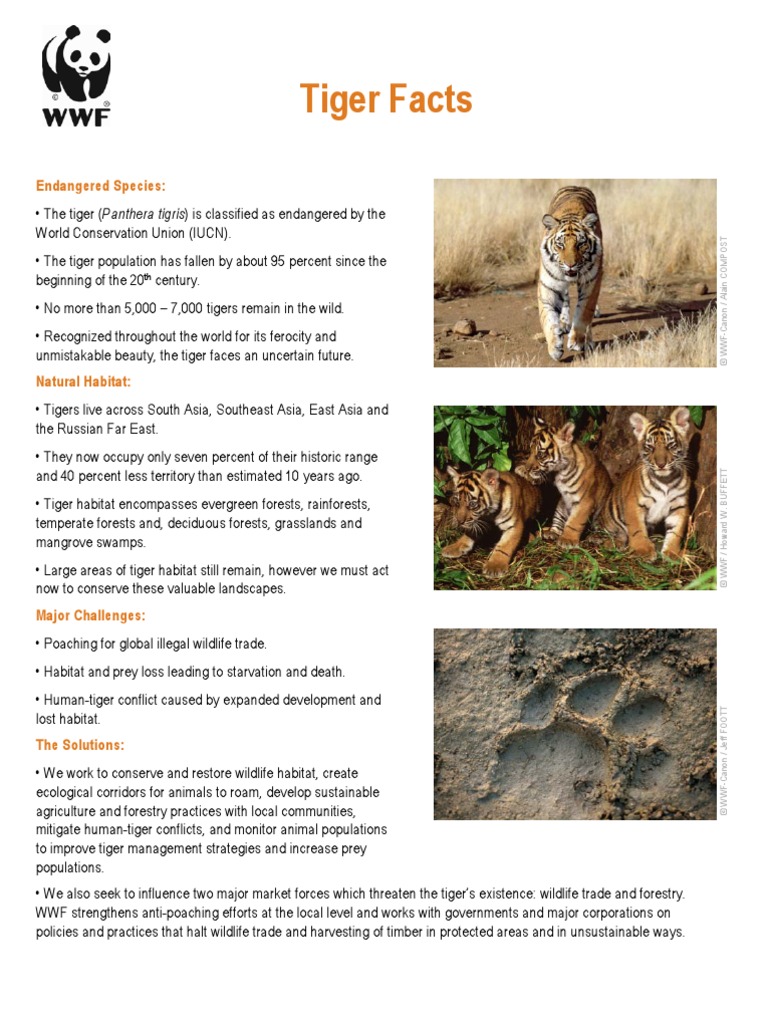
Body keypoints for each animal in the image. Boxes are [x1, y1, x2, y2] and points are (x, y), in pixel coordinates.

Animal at [515, 417, 611, 547]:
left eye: (540, 454)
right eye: (530, 451)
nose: (528, 468)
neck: (560, 472)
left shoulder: (585, 501)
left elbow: (575, 522)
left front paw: (567, 540)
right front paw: (523, 470)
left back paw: (596, 537)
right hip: (561, 506)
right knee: (557, 522)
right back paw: (551, 533)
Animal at [538, 186, 603, 362]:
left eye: (580, 244)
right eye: (560, 244)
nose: (570, 264)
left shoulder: (591, 283)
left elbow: (583, 314)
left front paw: (576, 342)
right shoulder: (548, 286)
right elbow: (548, 318)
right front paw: (554, 346)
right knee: (565, 298)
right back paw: (564, 323)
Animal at [600, 407, 692, 560]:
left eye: (670, 445)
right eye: (650, 447)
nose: (661, 464)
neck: (666, 480)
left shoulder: (680, 505)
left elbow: (676, 531)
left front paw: (672, 552)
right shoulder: (634, 503)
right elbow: (637, 528)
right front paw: (643, 550)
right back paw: (614, 543)